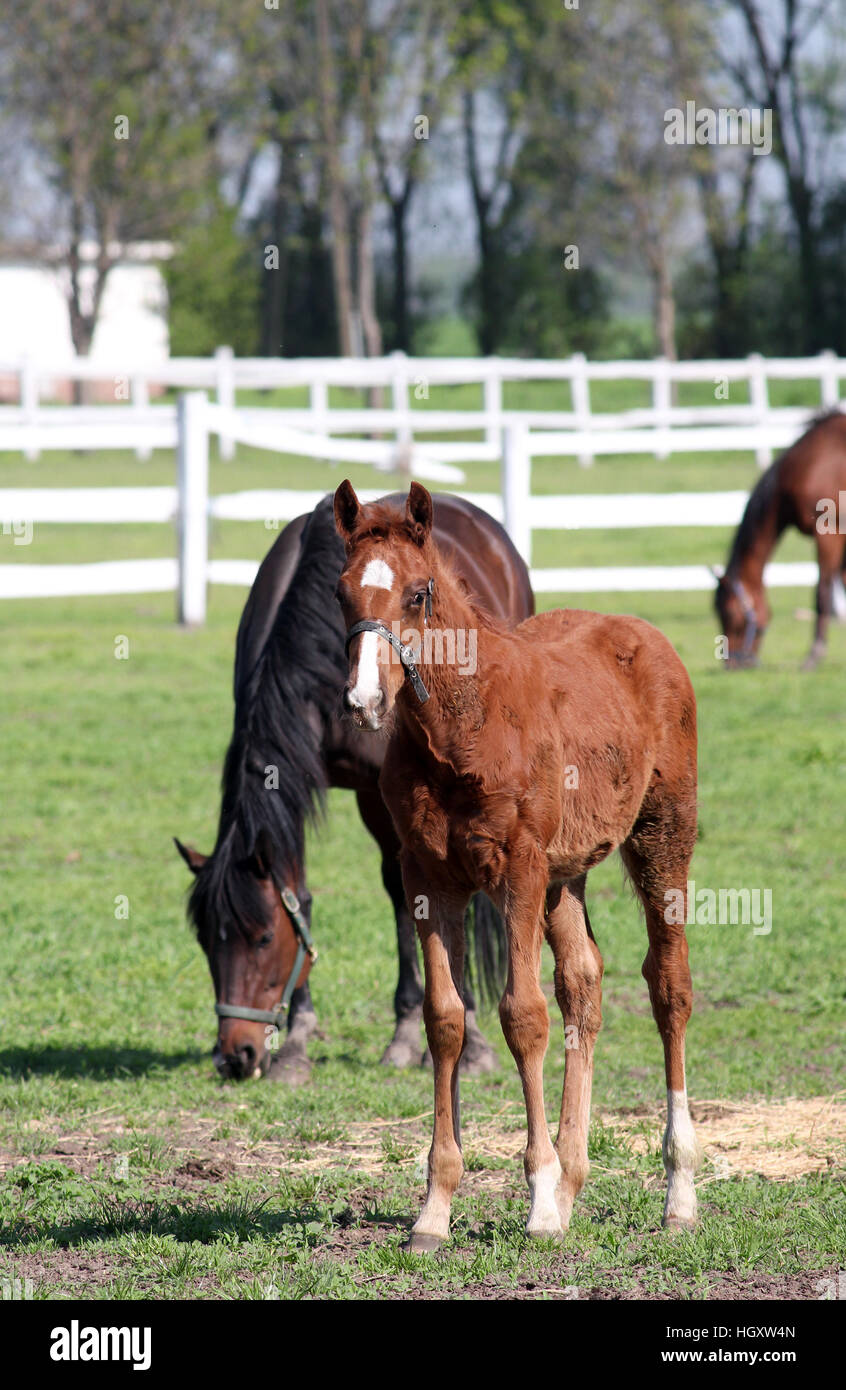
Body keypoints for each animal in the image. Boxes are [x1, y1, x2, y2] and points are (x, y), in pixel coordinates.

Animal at [175, 491, 534, 1083]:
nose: (235, 1056)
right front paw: (298, 1040)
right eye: (205, 942)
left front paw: (458, 1036)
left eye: (263, 938)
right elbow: (304, 892)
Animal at [334, 479, 701, 1249]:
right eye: (342, 591)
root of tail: (644, 633)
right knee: (584, 983)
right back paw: (574, 1180)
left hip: (660, 836)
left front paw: (536, 1200)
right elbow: (447, 1019)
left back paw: (677, 1191)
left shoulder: (519, 870)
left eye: (418, 594)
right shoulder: (427, 877)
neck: (462, 728)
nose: (364, 699)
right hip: (567, 873)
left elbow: (522, 1014)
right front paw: (435, 1209)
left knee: (669, 986)